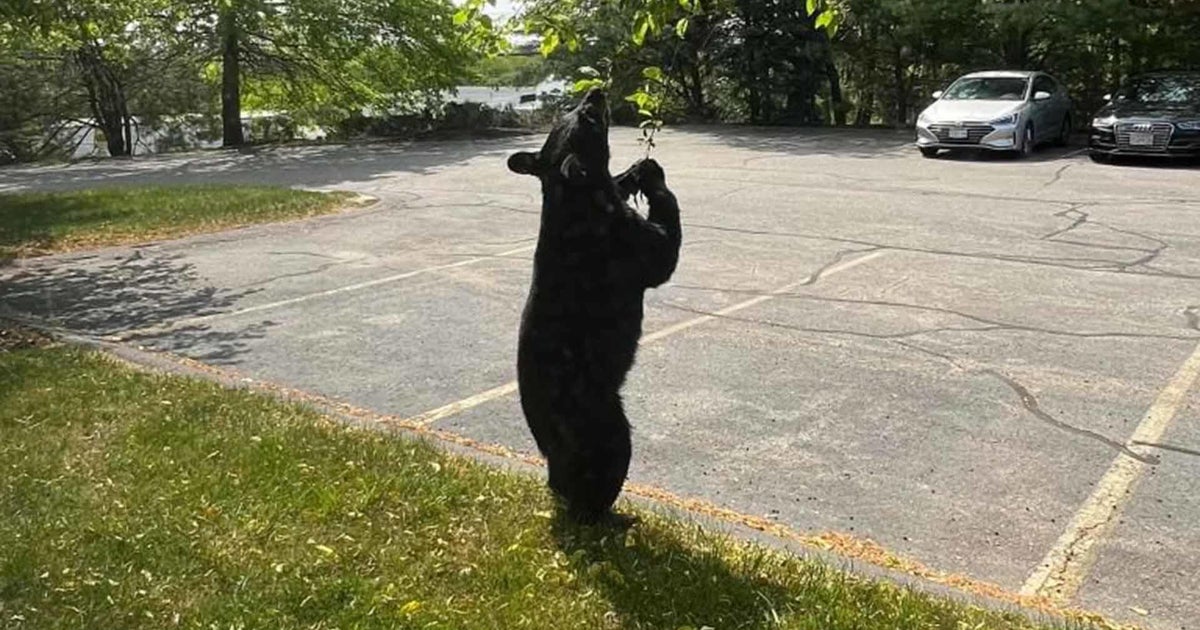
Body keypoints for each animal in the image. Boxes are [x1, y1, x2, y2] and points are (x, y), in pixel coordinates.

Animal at [507, 88, 682, 524]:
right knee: (599, 483)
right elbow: (666, 234)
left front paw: (631, 172)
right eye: (587, 119)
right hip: (606, 430)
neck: (575, 197)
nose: (595, 92)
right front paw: (651, 173)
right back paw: (610, 518)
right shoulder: (637, 245)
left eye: (566, 111)